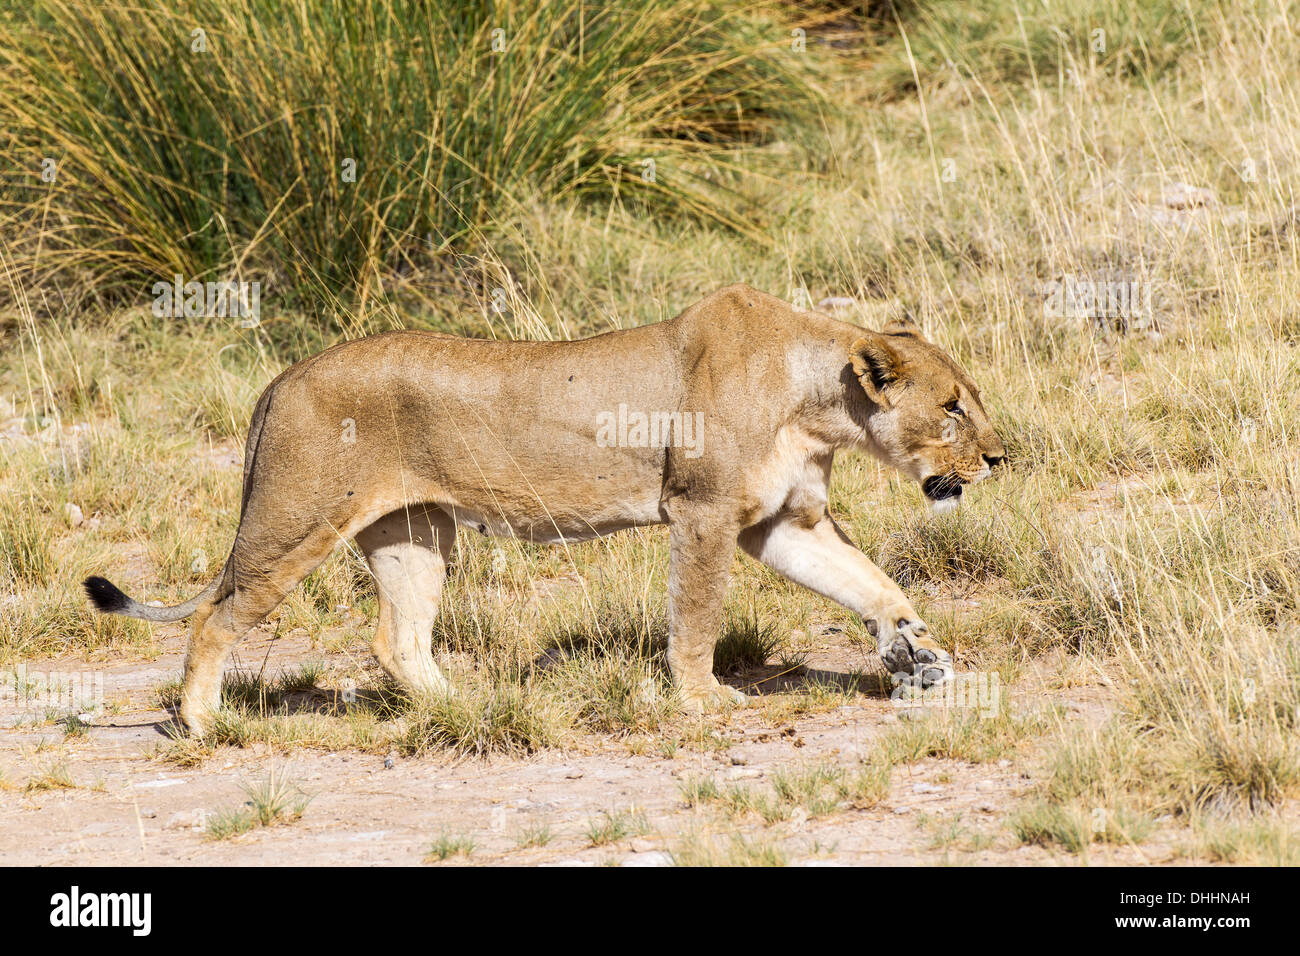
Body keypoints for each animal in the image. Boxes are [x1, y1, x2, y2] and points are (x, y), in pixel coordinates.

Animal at [84, 284, 1004, 735]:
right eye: (953, 408)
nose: (1001, 458)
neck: (818, 402)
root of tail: (281, 376)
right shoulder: (703, 514)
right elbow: (697, 619)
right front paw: (703, 701)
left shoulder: (781, 522)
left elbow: (867, 579)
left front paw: (913, 647)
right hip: (294, 522)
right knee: (217, 617)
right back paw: (203, 724)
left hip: (415, 534)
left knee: (397, 639)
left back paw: (466, 709)